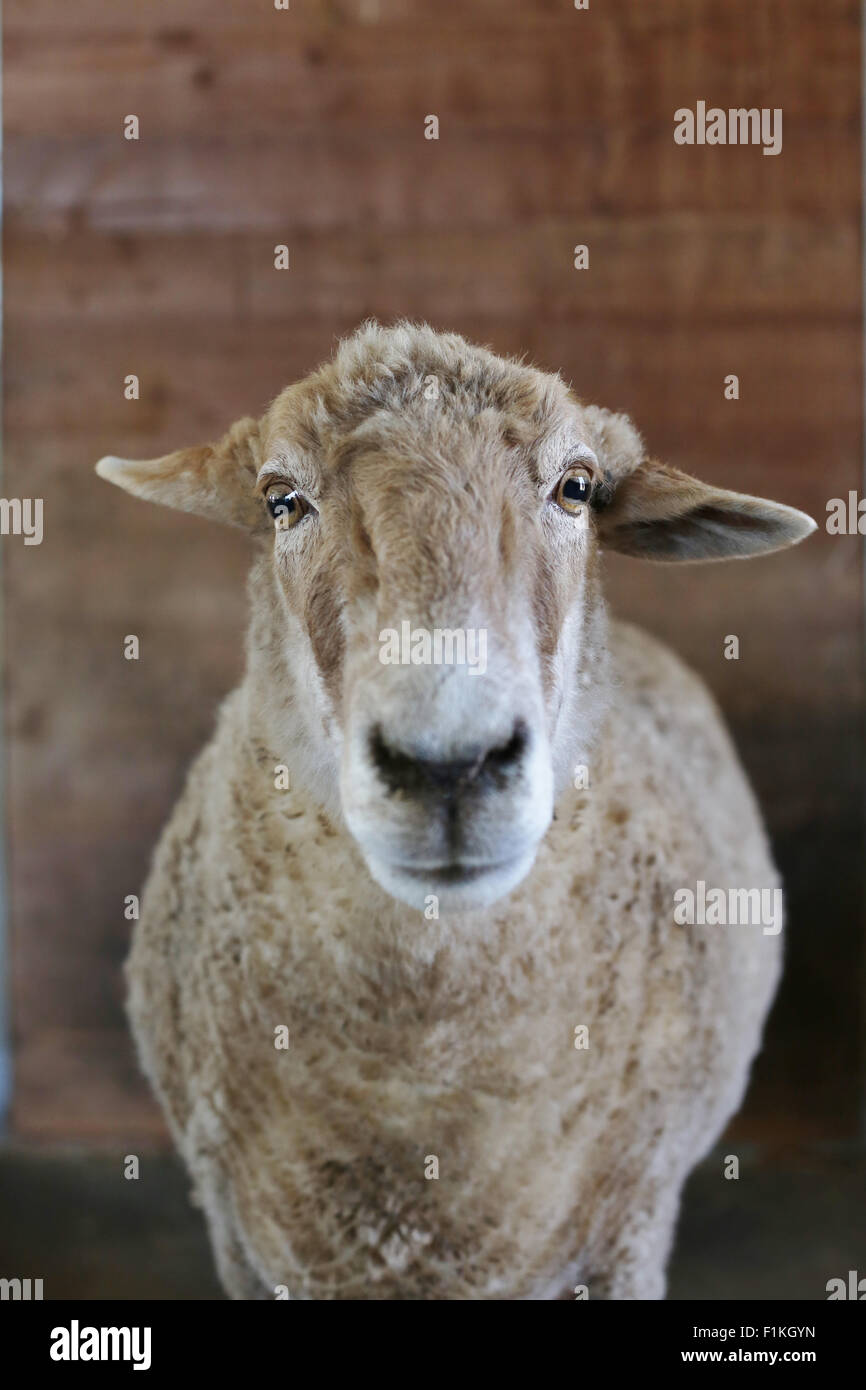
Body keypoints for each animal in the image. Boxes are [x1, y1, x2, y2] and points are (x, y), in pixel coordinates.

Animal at [96, 320, 815, 1300]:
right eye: (282, 500)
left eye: (577, 488)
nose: (449, 764)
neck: (422, 1079)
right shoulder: (243, 1247)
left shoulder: (626, 1235)